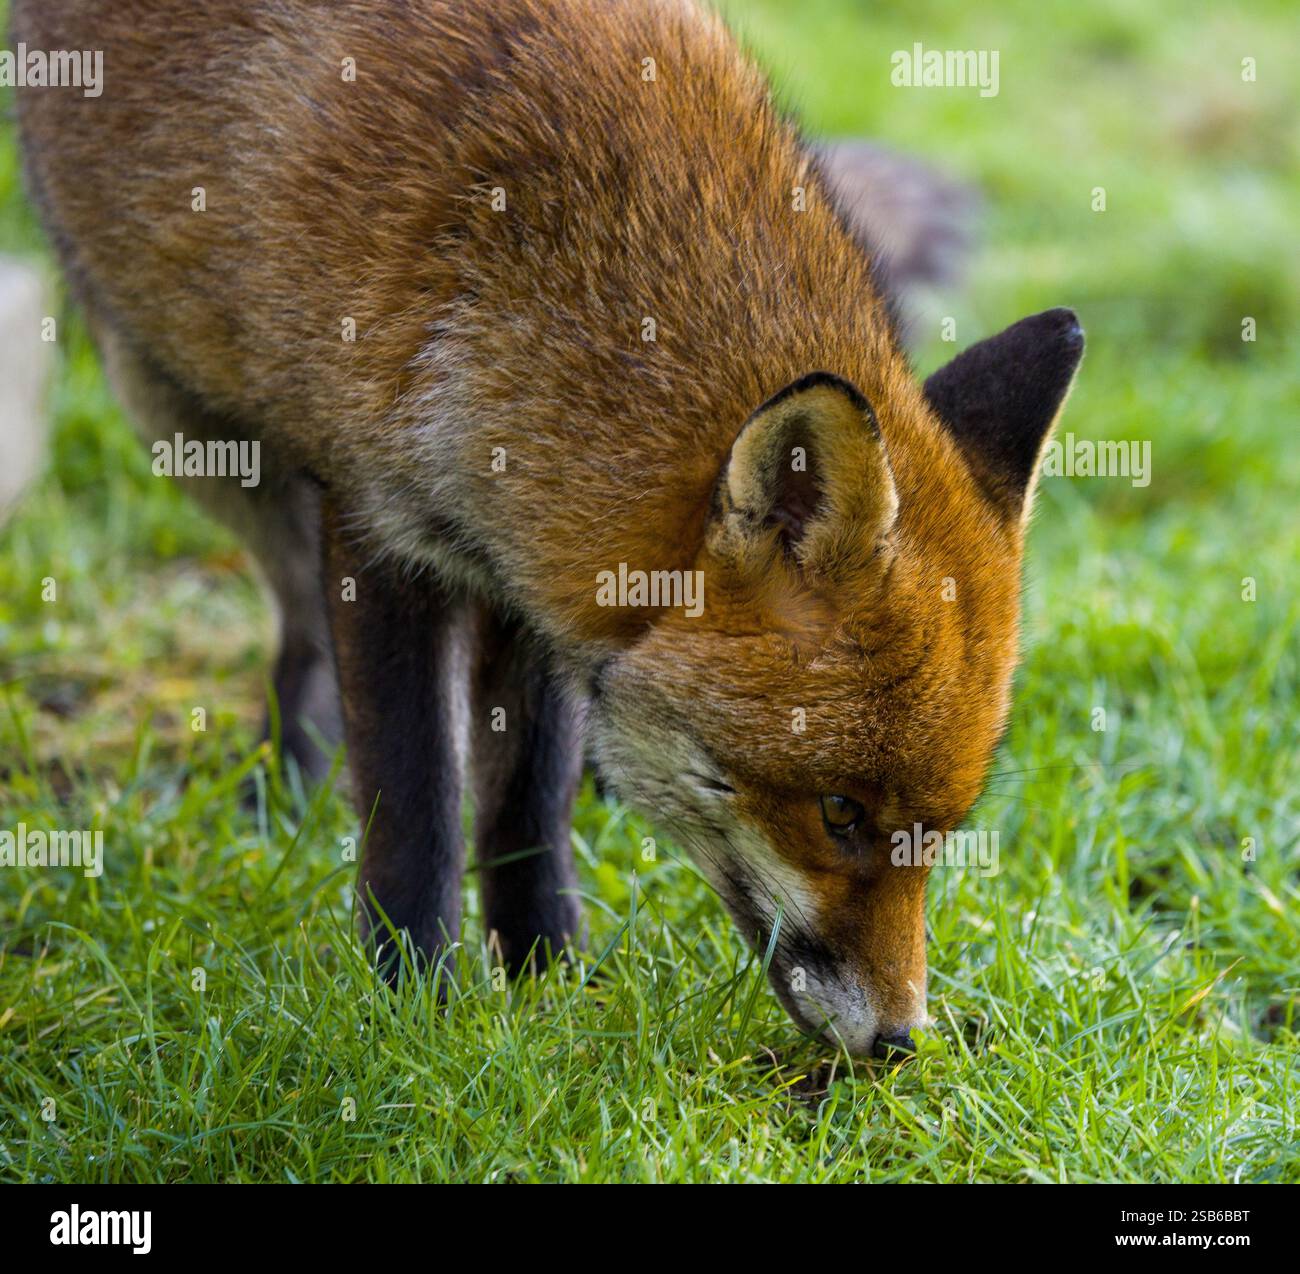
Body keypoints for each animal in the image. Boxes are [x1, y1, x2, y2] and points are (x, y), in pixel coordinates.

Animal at [12, 0, 1083, 1057]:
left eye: (940, 833)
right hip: (182, 413)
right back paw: (289, 789)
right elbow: (417, 807)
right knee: (300, 629)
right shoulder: (381, 527)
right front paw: (418, 1007)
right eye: (840, 813)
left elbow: (529, 800)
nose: (902, 1040)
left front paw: (547, 978)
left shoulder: (552, 577)